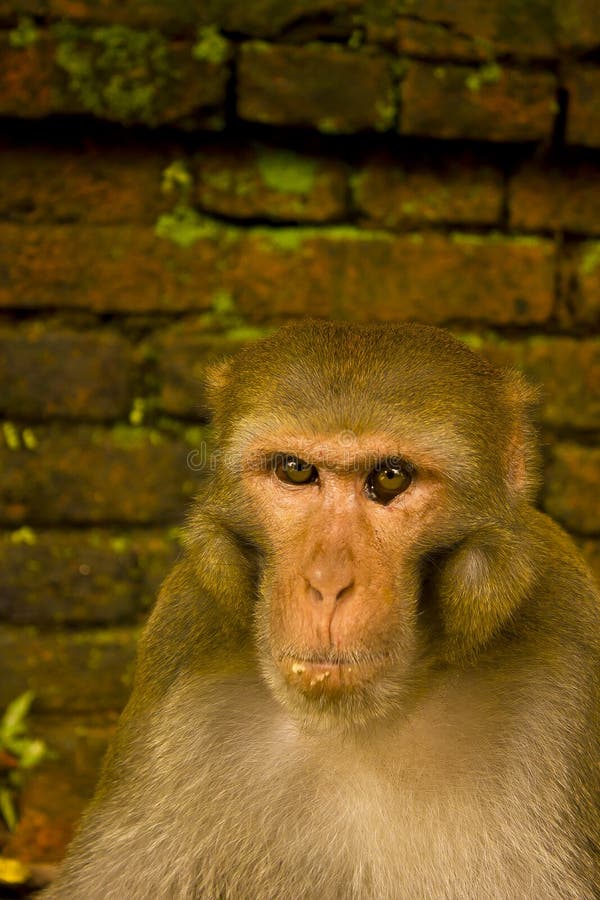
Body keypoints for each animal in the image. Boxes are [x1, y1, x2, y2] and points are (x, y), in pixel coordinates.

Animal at [43, 321, 599, 900]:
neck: (356, 724)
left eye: (391, 477)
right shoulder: (182, 648)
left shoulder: (563, 657)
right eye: (296, 470)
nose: (328, 584)